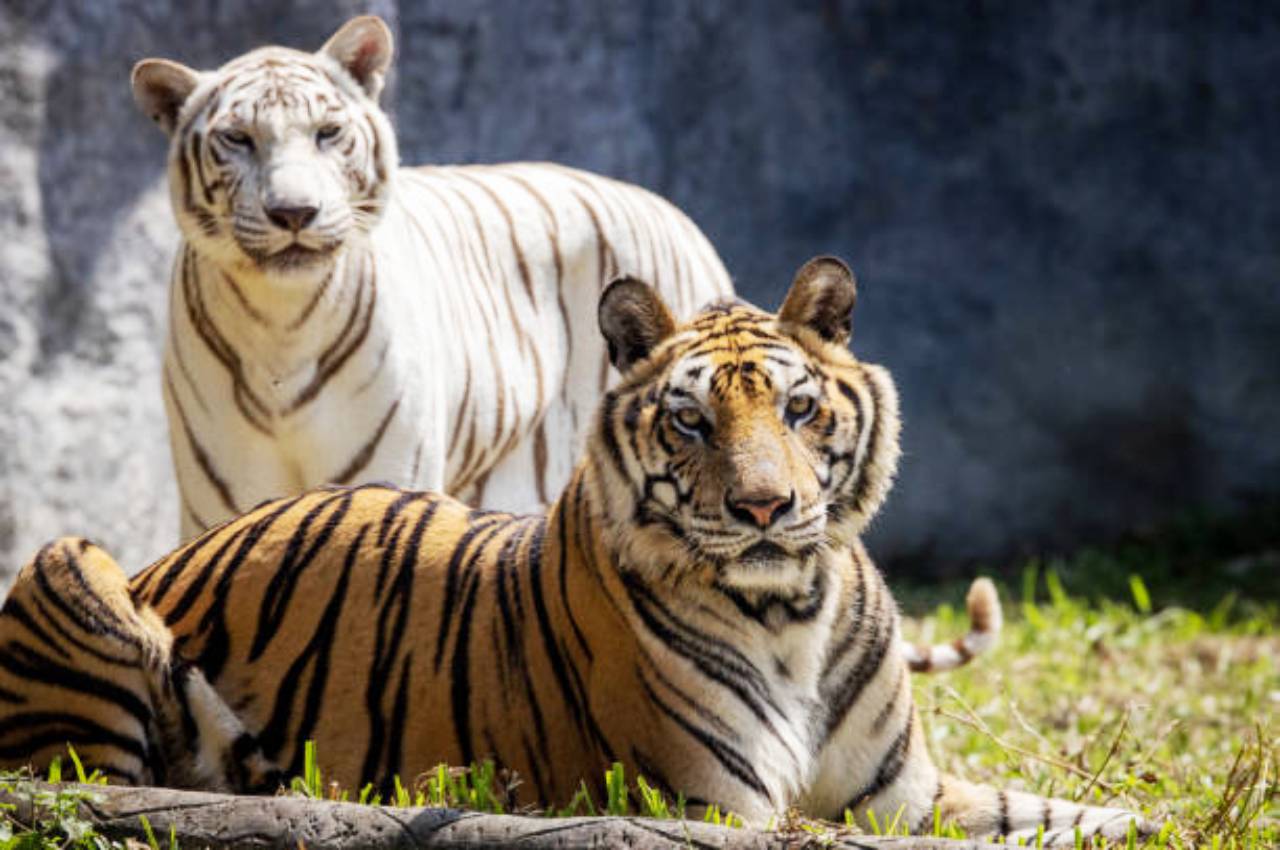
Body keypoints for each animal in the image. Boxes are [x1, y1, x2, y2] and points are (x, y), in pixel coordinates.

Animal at [0, 257, 1153, 844]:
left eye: (796, 407)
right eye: (690, 421)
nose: (766, 508)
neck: (795, 608)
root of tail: (166, 558)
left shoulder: (904, 794)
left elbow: (1071, 818)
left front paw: (1132, 817)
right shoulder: (718, 804)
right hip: (69, 566)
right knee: (84, 788)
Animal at [130, 15, 733, 541]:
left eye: (328, 133)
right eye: (237, 139)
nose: (294, 212)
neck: (283, 320)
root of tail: (675, 215)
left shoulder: (388, 470)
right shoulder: (219, 499)